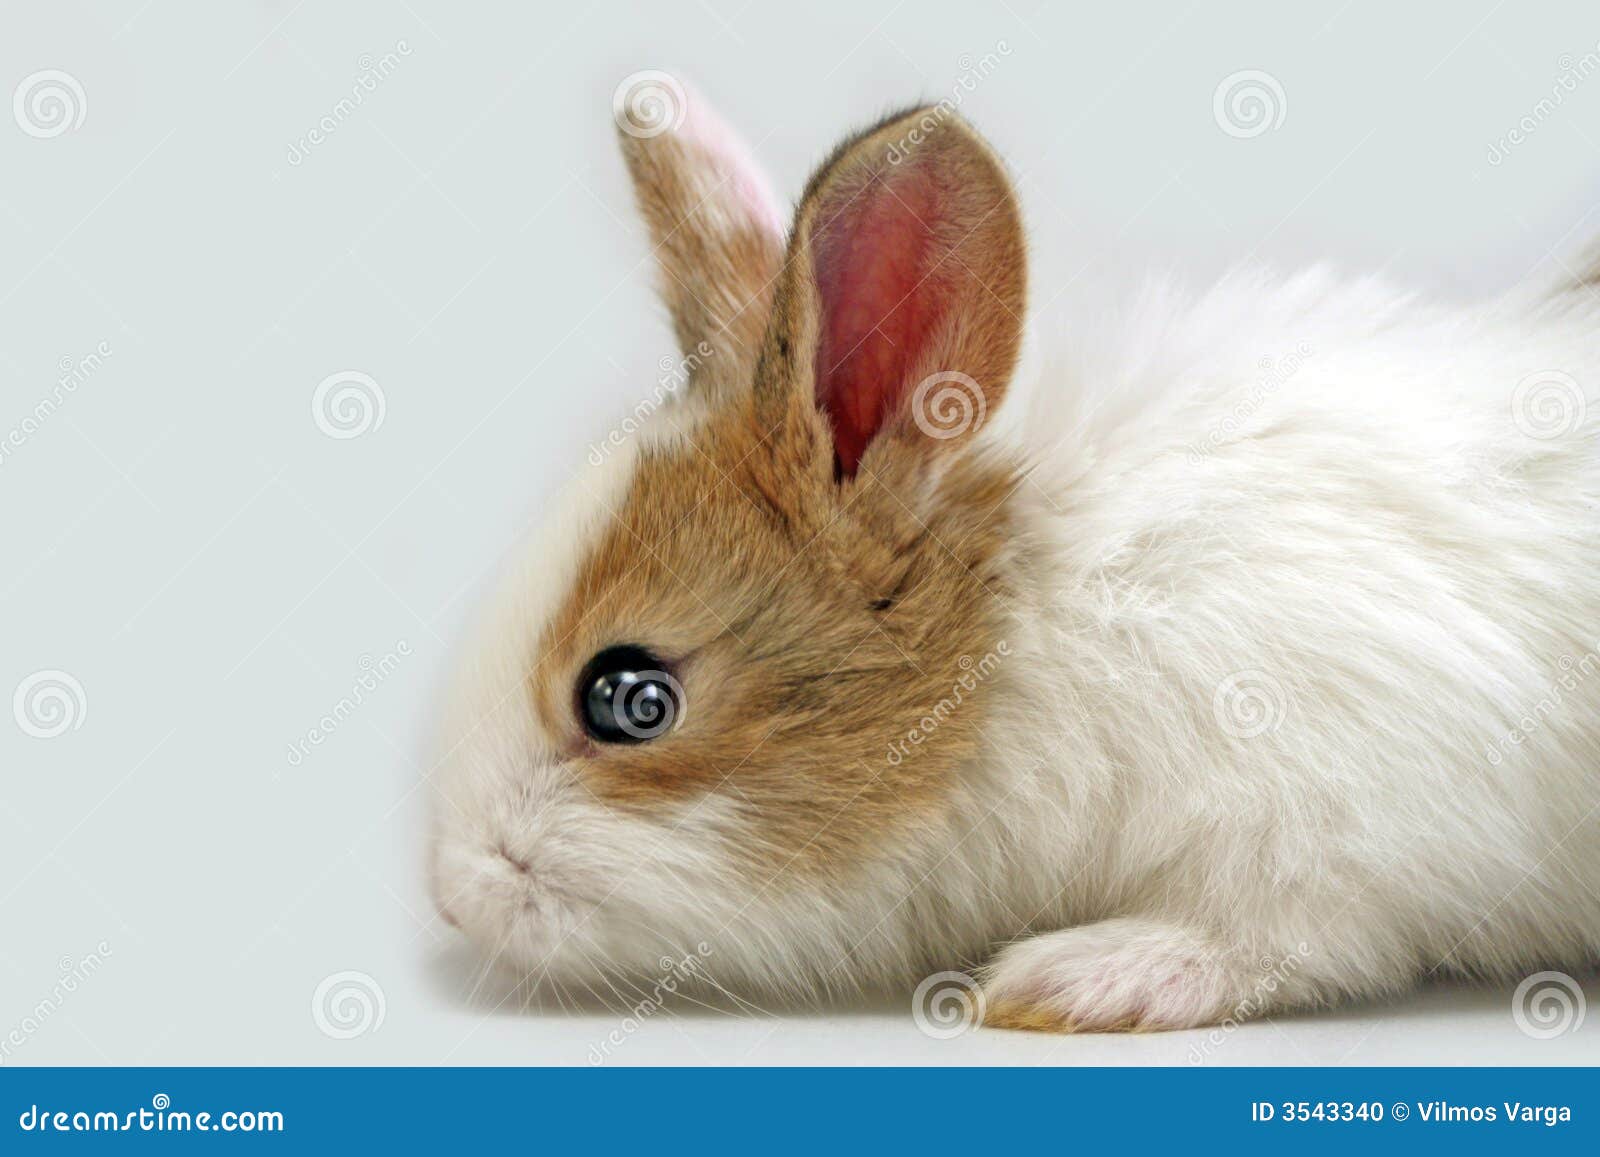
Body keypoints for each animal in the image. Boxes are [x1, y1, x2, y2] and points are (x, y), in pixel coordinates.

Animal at [427, 83, 1600, 1033]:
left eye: (630, 699)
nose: (454, 893)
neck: (1020, 636)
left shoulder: (1336, 815)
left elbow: (1288, 934)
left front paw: (1084, 979)